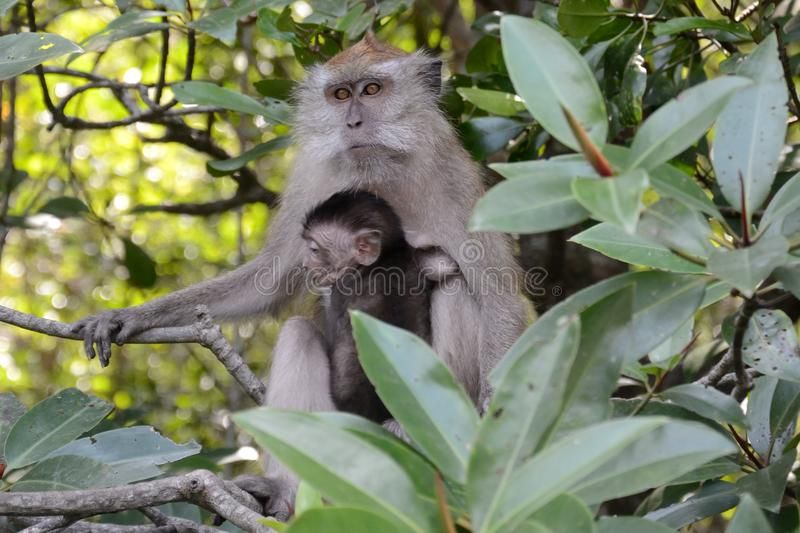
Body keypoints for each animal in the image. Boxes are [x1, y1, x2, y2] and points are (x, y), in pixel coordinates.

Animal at [298, 188, 456, 424]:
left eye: (314, 250)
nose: (305, 265)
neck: (383, 262)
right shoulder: (413, 258)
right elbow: (443, 263)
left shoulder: (341, 289)